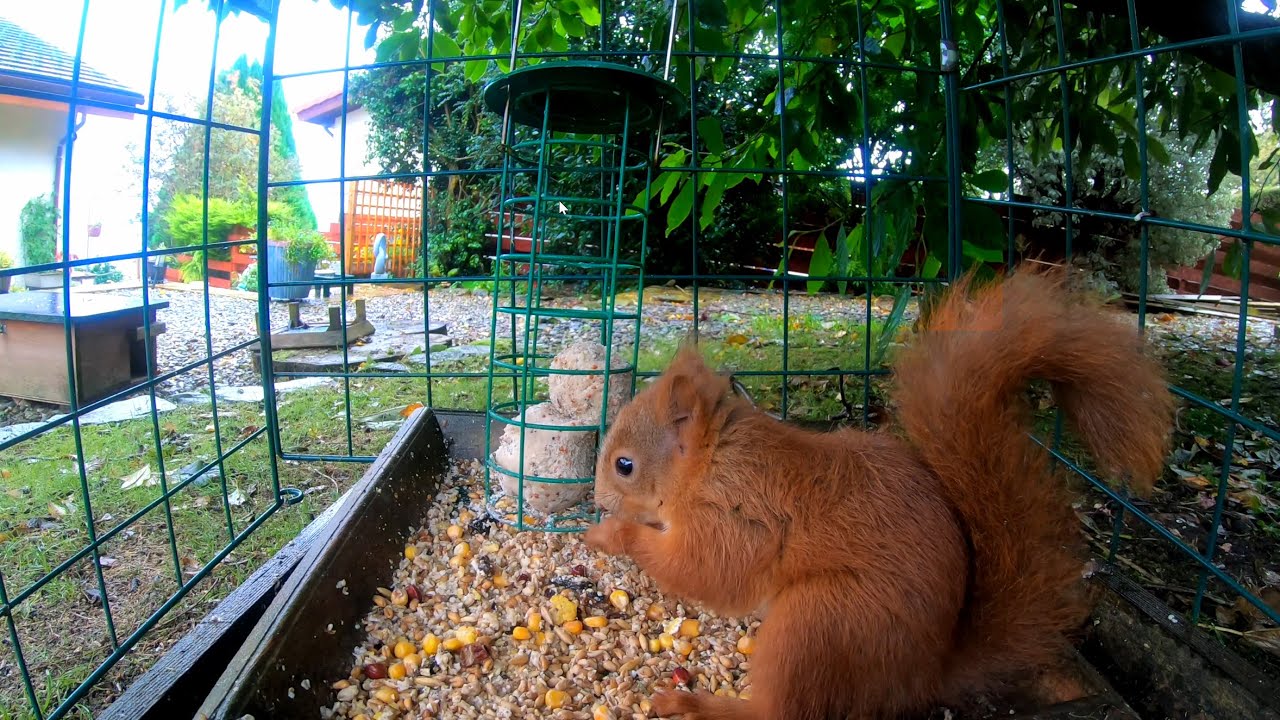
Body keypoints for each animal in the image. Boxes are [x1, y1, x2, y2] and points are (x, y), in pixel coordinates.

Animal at [584, 265, 1176, 719]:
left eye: (624, 465)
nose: (597, 500)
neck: (711, 463)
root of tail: (923, 676)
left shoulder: (736, 518)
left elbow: (704, 570)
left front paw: (611, 534)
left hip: (824, 623)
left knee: (782, 712)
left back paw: (698, 706)